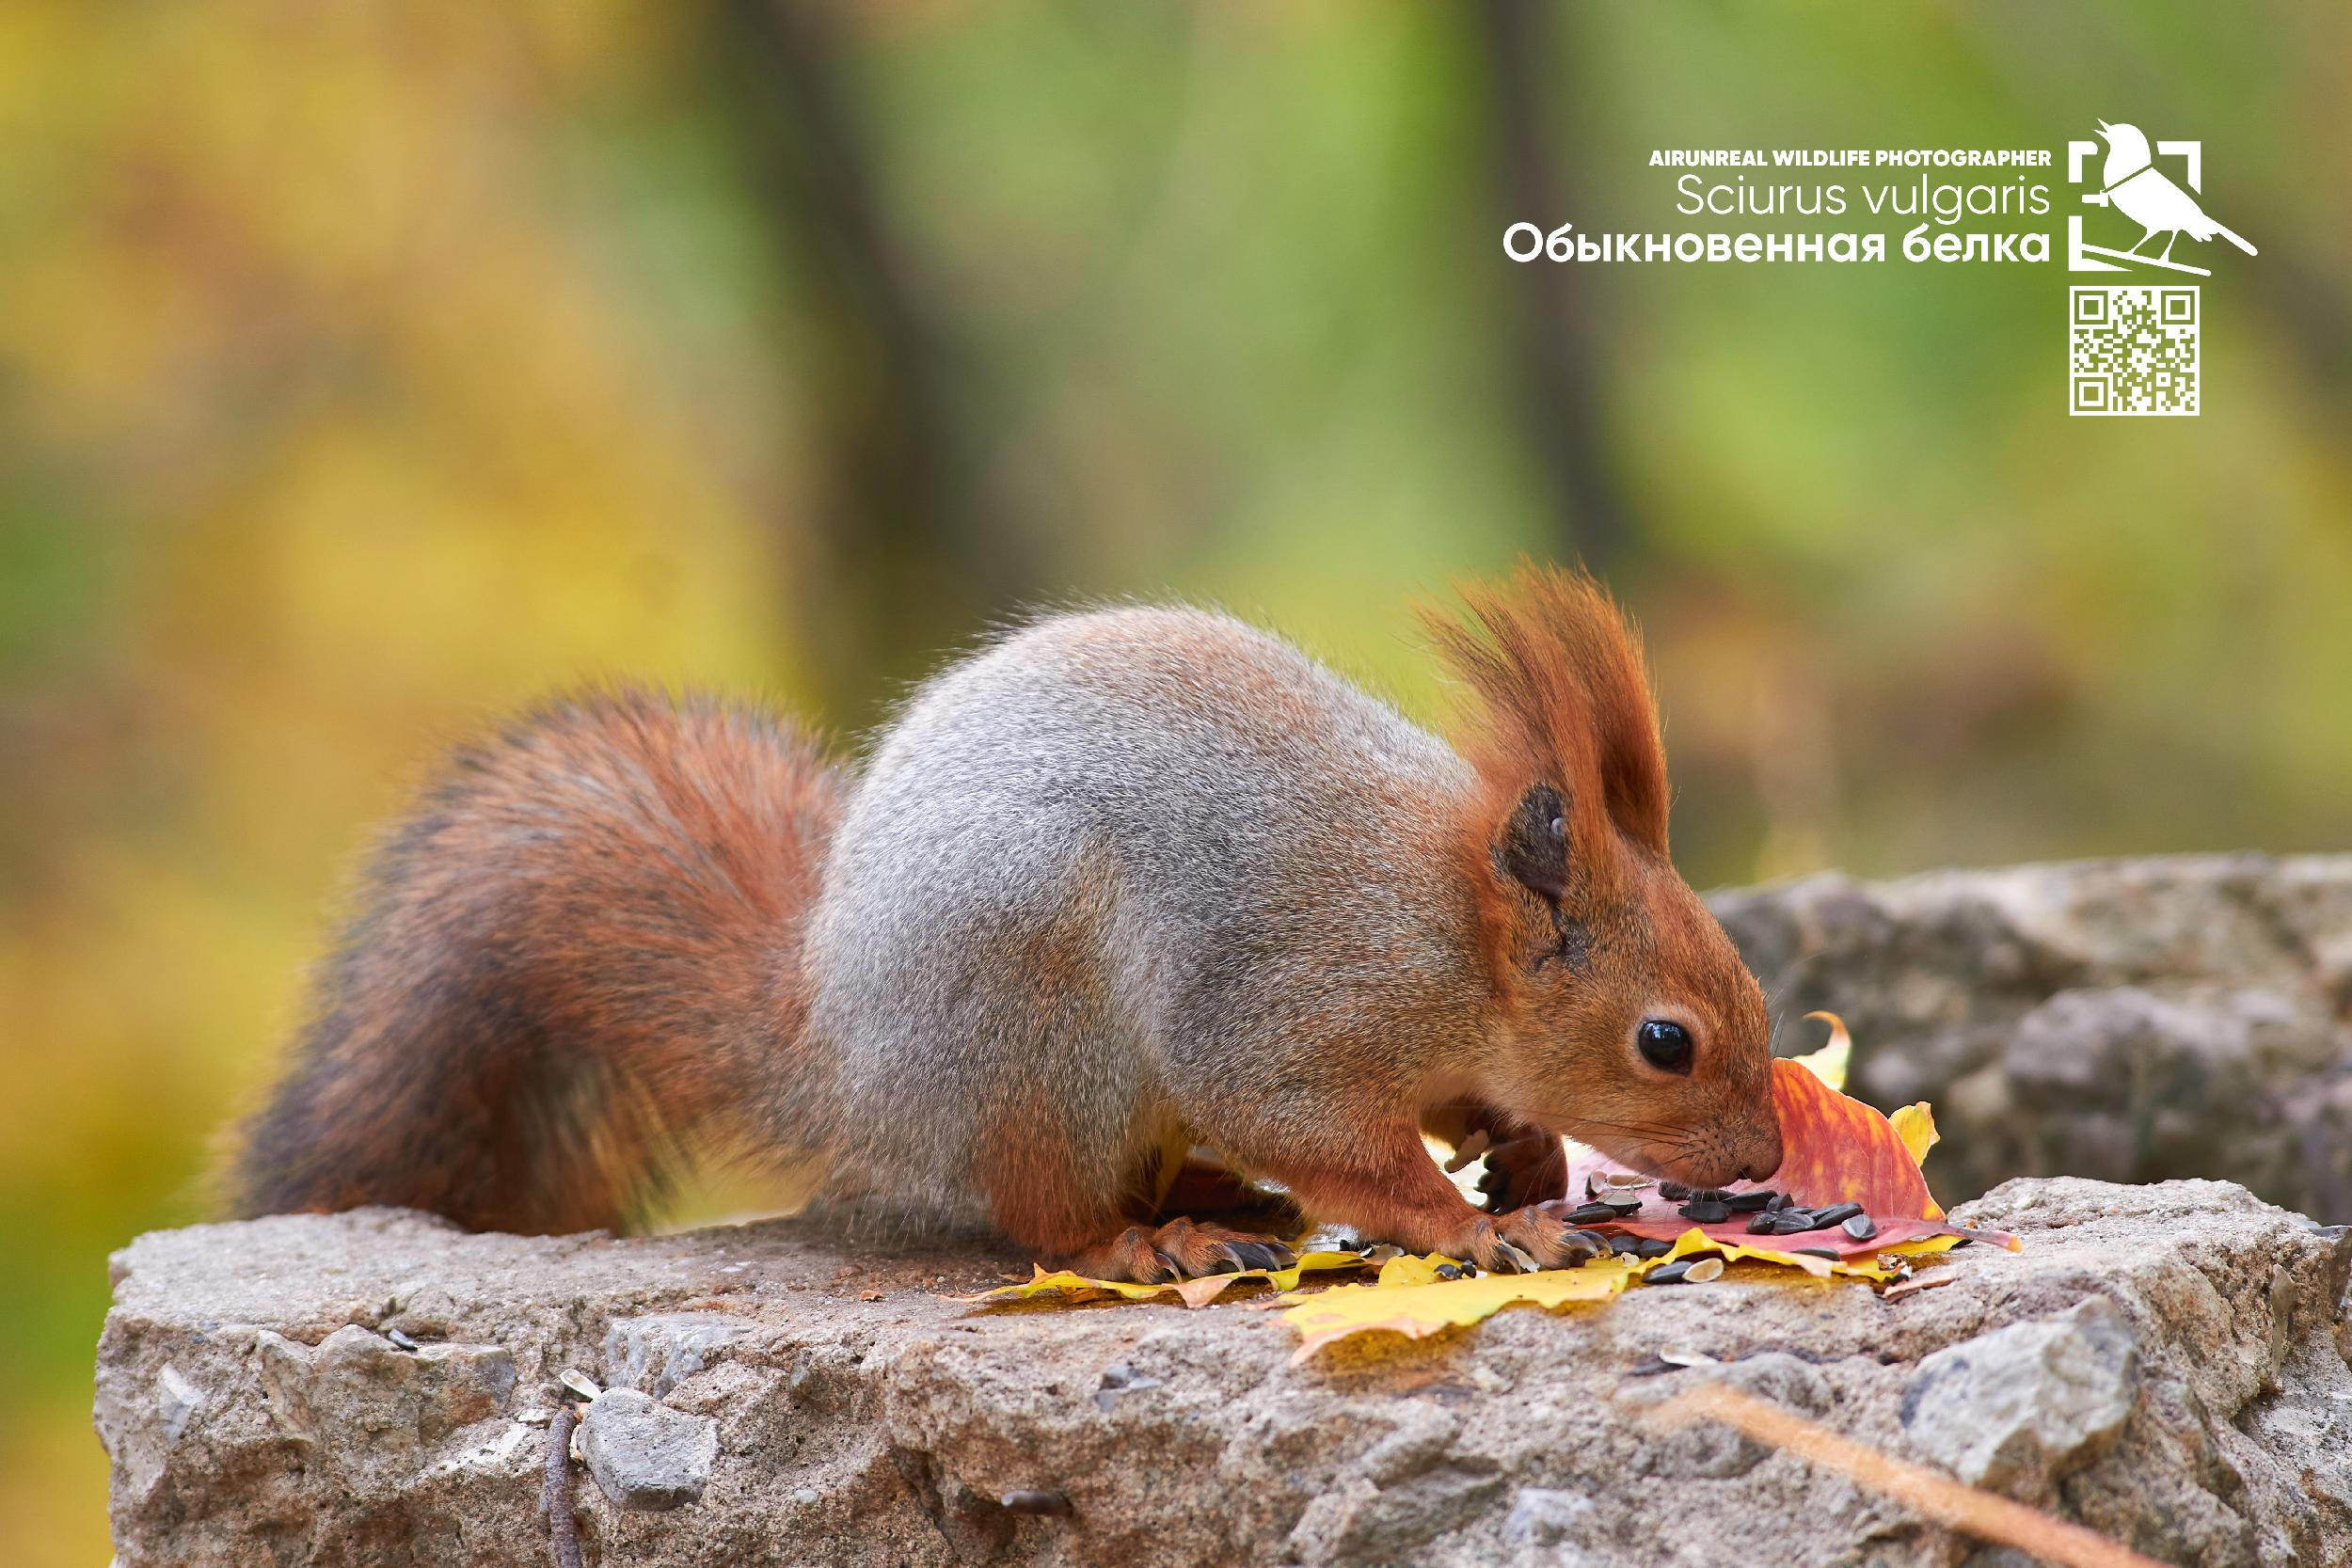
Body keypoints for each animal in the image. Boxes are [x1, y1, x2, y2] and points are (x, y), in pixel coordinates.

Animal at [238, 571, 1778, 1278]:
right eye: (1665, 1040)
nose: (1766, 1161)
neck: (1454, 932)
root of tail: (844, 1054)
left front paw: (1520, 1151)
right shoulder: (1296, 999)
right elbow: (1306, 1119)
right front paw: (1472, 1225)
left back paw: (1210, 1198)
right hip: (1038, 1027)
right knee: (1041, 1209)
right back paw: (1143, 1244)